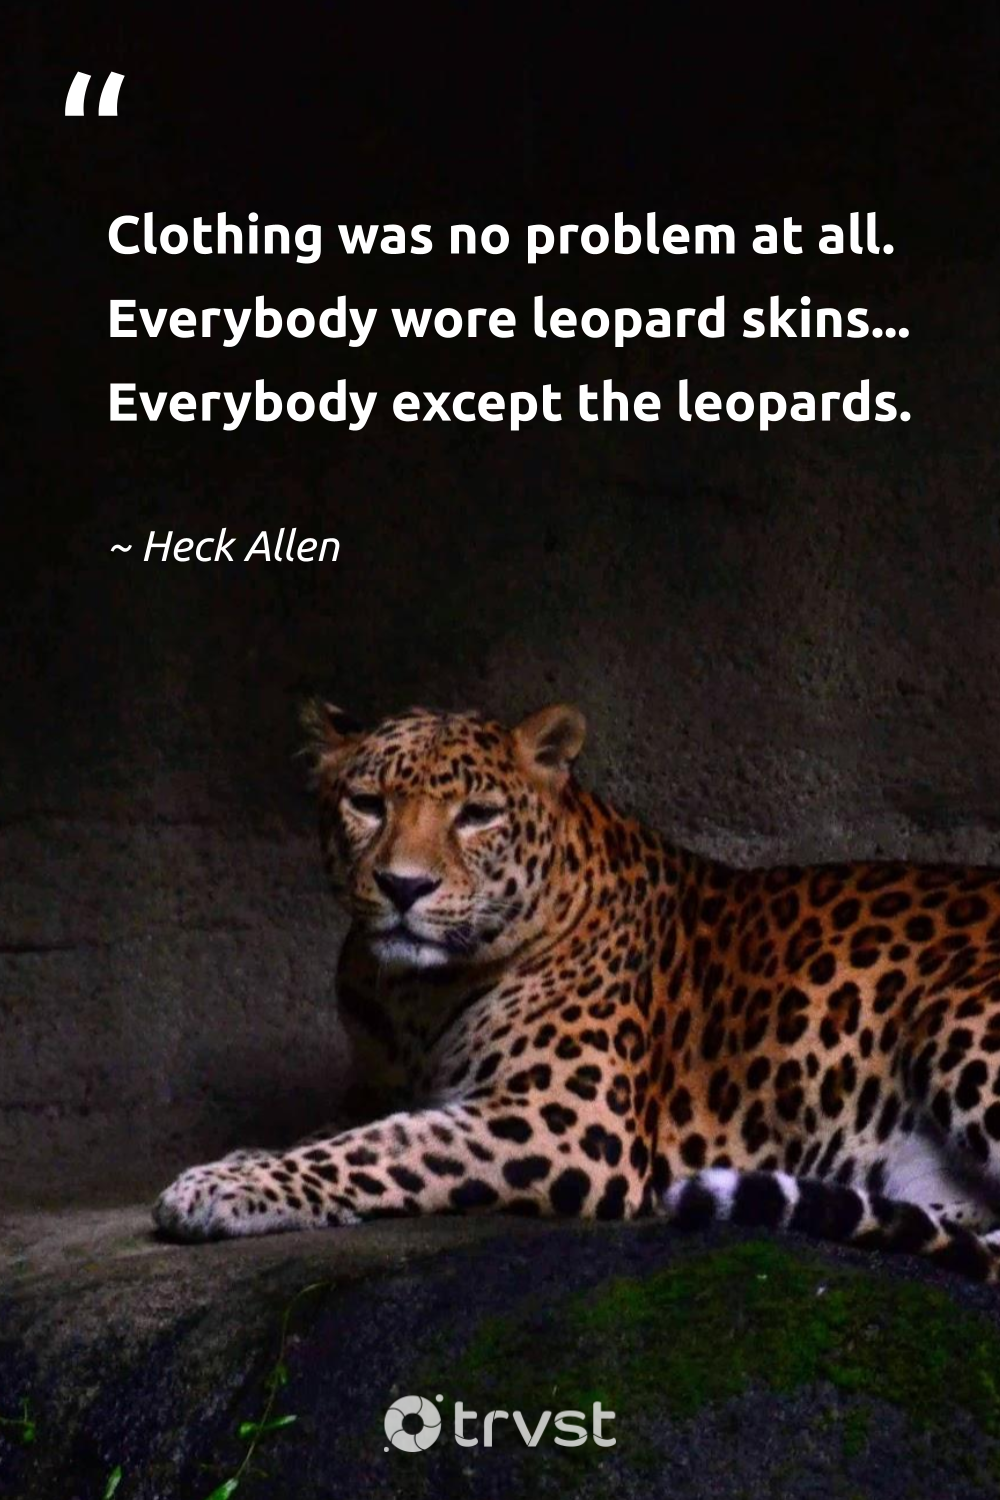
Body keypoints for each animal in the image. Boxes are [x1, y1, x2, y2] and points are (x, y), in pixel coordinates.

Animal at [154, 700, 1000, 1281]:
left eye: (477, 815)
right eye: (367, 804)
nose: (403, 887)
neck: (413, 999)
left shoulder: (565, 1119)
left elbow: (385, 1145)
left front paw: (218, 1185)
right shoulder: (383, 1088)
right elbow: (338, 1132)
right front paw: (246, 1159)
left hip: (959, 1024)